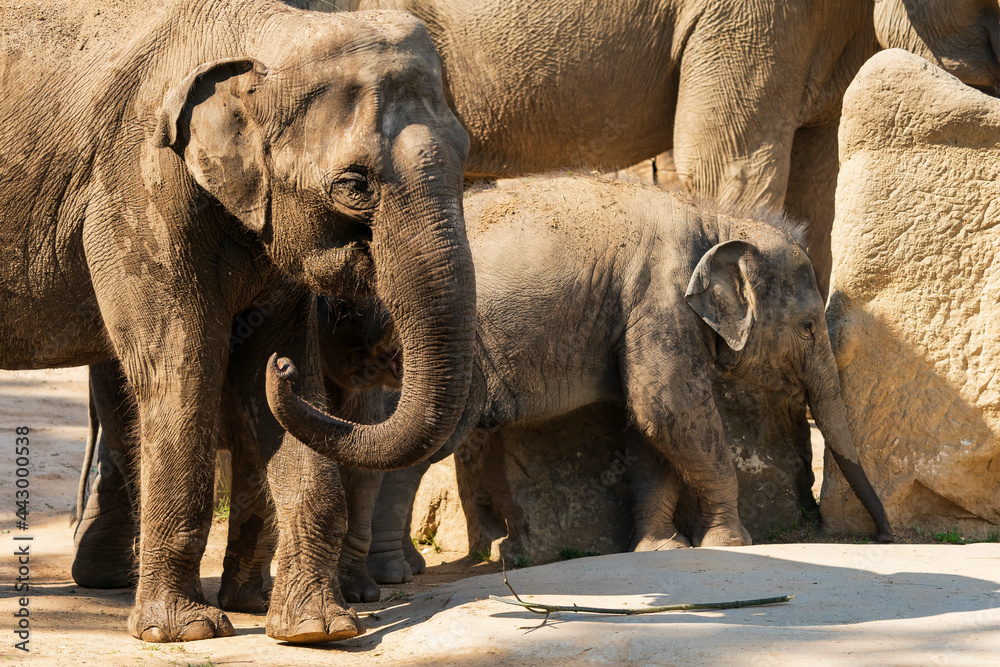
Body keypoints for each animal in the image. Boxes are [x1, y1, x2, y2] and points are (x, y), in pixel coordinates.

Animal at [0, 0, 476, 644]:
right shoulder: (136, 186)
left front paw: (319, 629)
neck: (261, 29)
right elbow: (180, 367)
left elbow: (275, 386)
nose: (283, 368)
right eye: (353, 185)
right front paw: (184, 632)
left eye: (467, 153)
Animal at [267, 176, 894, 581]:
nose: (887, 535)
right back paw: (391, 577)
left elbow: (648, 429)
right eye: (810, 327)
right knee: (418, 443)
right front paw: (733, 545)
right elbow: (669, 409)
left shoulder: (642, 313)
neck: (715, 218)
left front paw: (658, 549)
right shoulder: (659, 301)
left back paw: (396, 572)